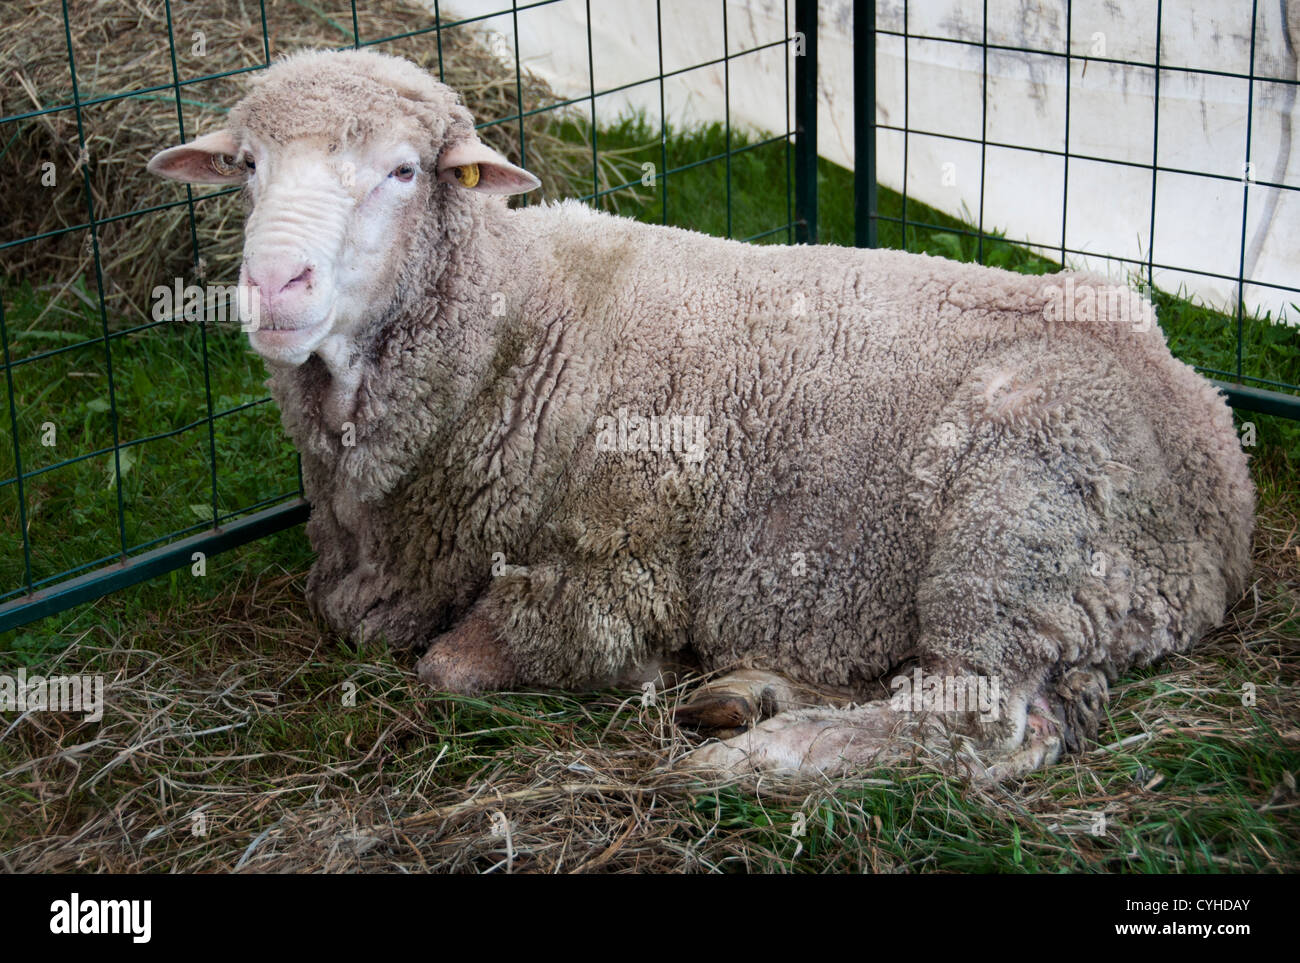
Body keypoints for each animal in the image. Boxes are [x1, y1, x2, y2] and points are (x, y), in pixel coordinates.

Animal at [147, 49, 1255, 779]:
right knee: (1024, 717)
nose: (273, 286)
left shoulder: (602, 575)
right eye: (247, 167)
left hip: (1015, 519)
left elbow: (449, 667)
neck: (517, 324)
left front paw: (638, 671)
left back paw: (765, 756)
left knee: (978, 719)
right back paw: (747, 694)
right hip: (1060, 588)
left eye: (403, 171)